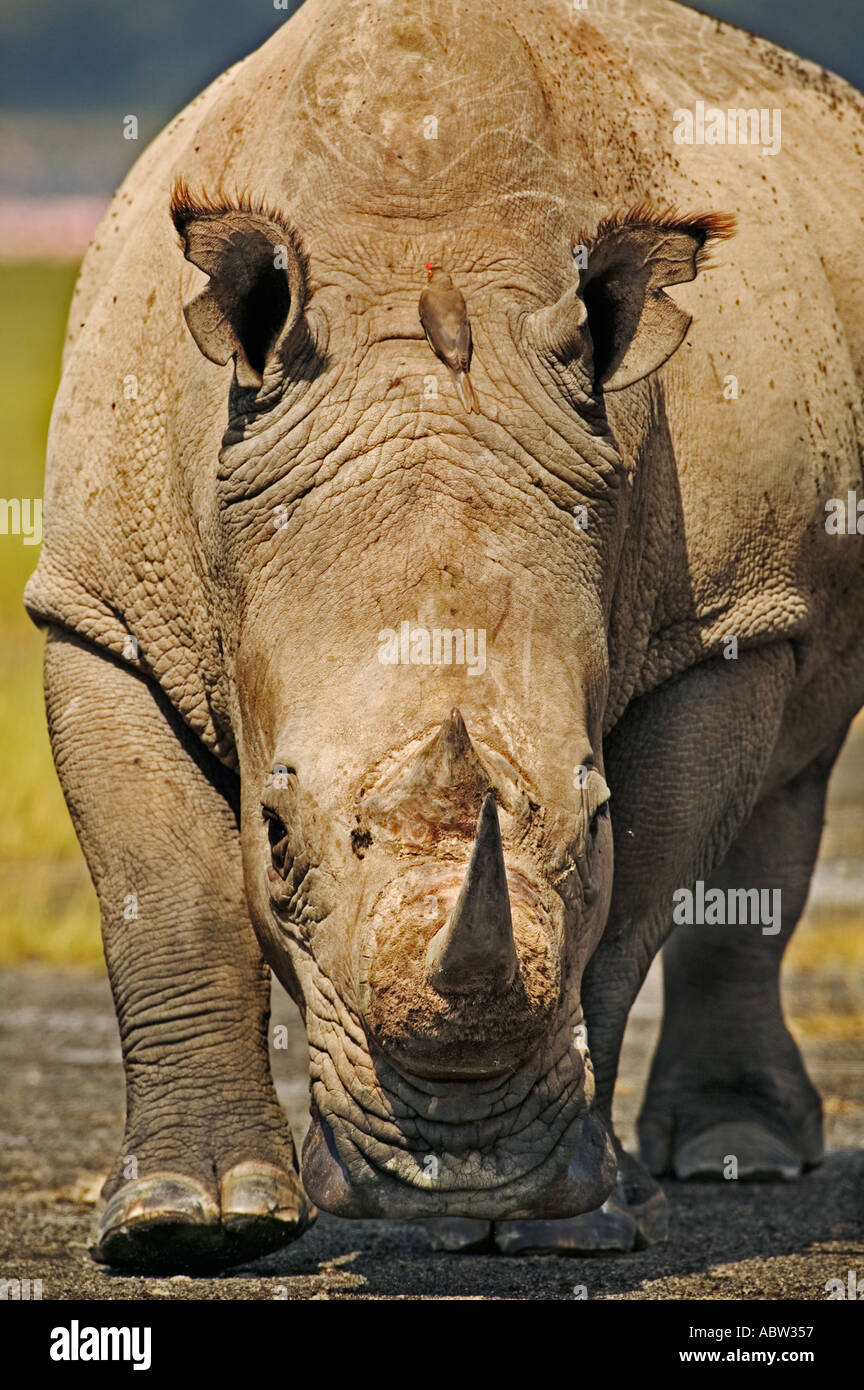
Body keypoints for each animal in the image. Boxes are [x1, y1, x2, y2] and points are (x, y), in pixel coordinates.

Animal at [26, 0, 864, 1269]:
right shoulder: (105, 608)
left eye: (593, 812)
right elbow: (164, 902)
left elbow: (636, 902)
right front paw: (187, 1219)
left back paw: (737, 1155)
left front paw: (574, 1226)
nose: (453, 1162)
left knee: (789, 775)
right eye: (276, 835)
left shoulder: (721, 619)